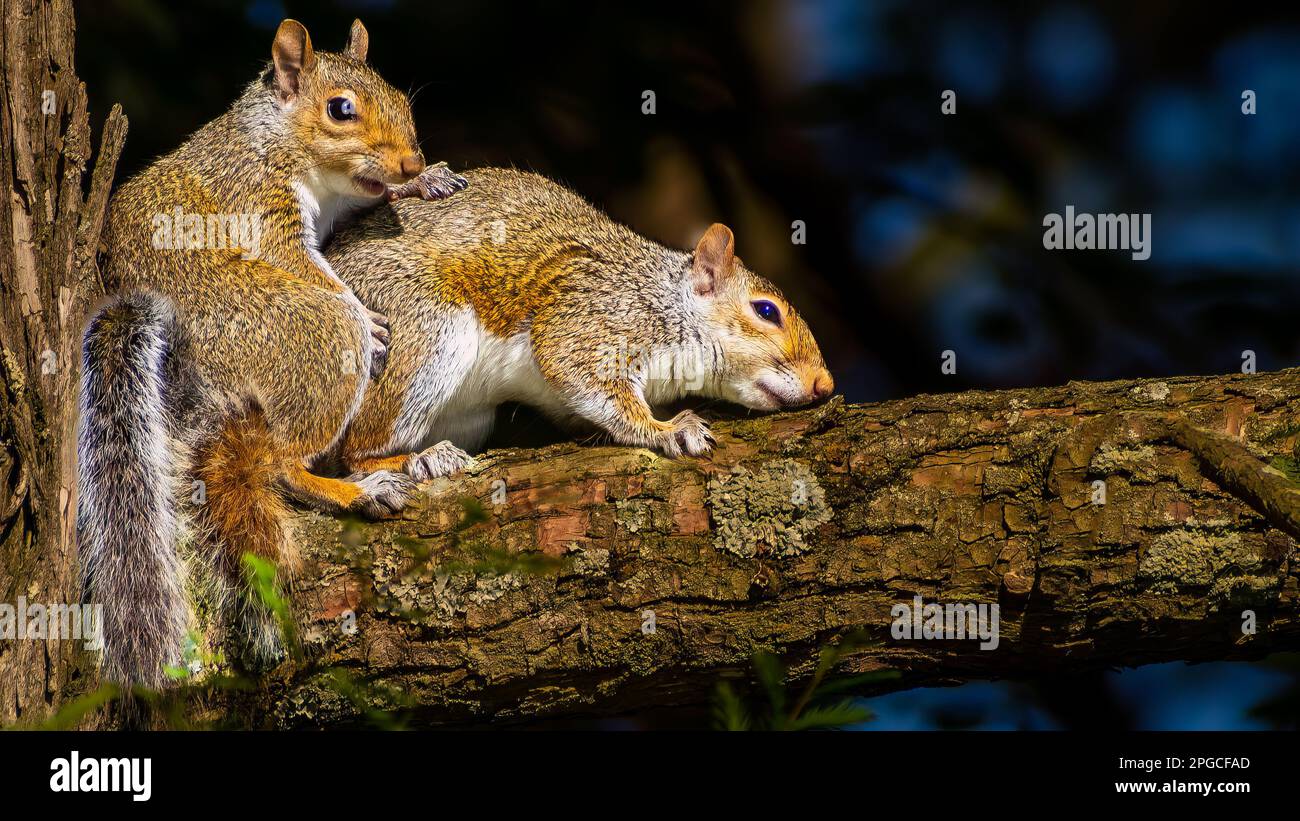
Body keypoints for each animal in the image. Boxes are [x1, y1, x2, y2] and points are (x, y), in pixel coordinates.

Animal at [78, 19, 464, 694]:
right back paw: (354, 490)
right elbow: (303, 264)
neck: (284, 144)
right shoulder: (256, 199)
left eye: (400, 96)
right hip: (303, 332)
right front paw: (365, 312)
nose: (411, 160)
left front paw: (424, 180)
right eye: (341, 109)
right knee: (281, 463)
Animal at [324, 167, 833, 478]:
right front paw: (669, 430)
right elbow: (585, 376)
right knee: (356, 456)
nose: (823, 385)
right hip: (425, 328)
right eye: (766, 311)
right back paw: (417, 460)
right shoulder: (590, 321)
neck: (662, 299)